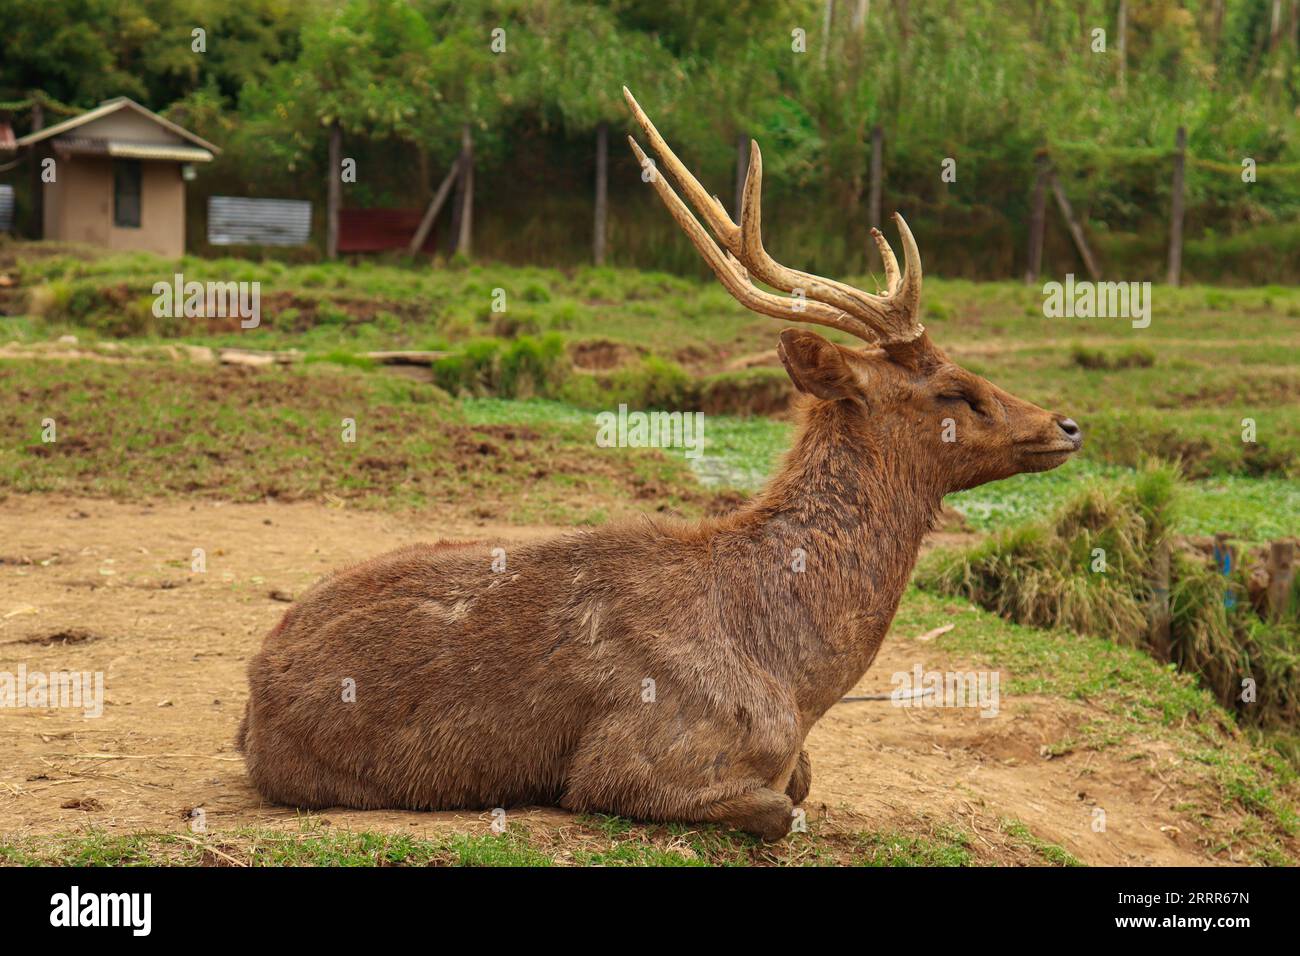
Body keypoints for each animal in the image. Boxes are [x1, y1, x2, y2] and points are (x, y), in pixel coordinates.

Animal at [238, 88, 1083, 841]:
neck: (796, 675)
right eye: (954, 389)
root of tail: (248, 698)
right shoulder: (633, 759)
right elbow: (781, 810)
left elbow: (803, 781)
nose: (1067, 424)